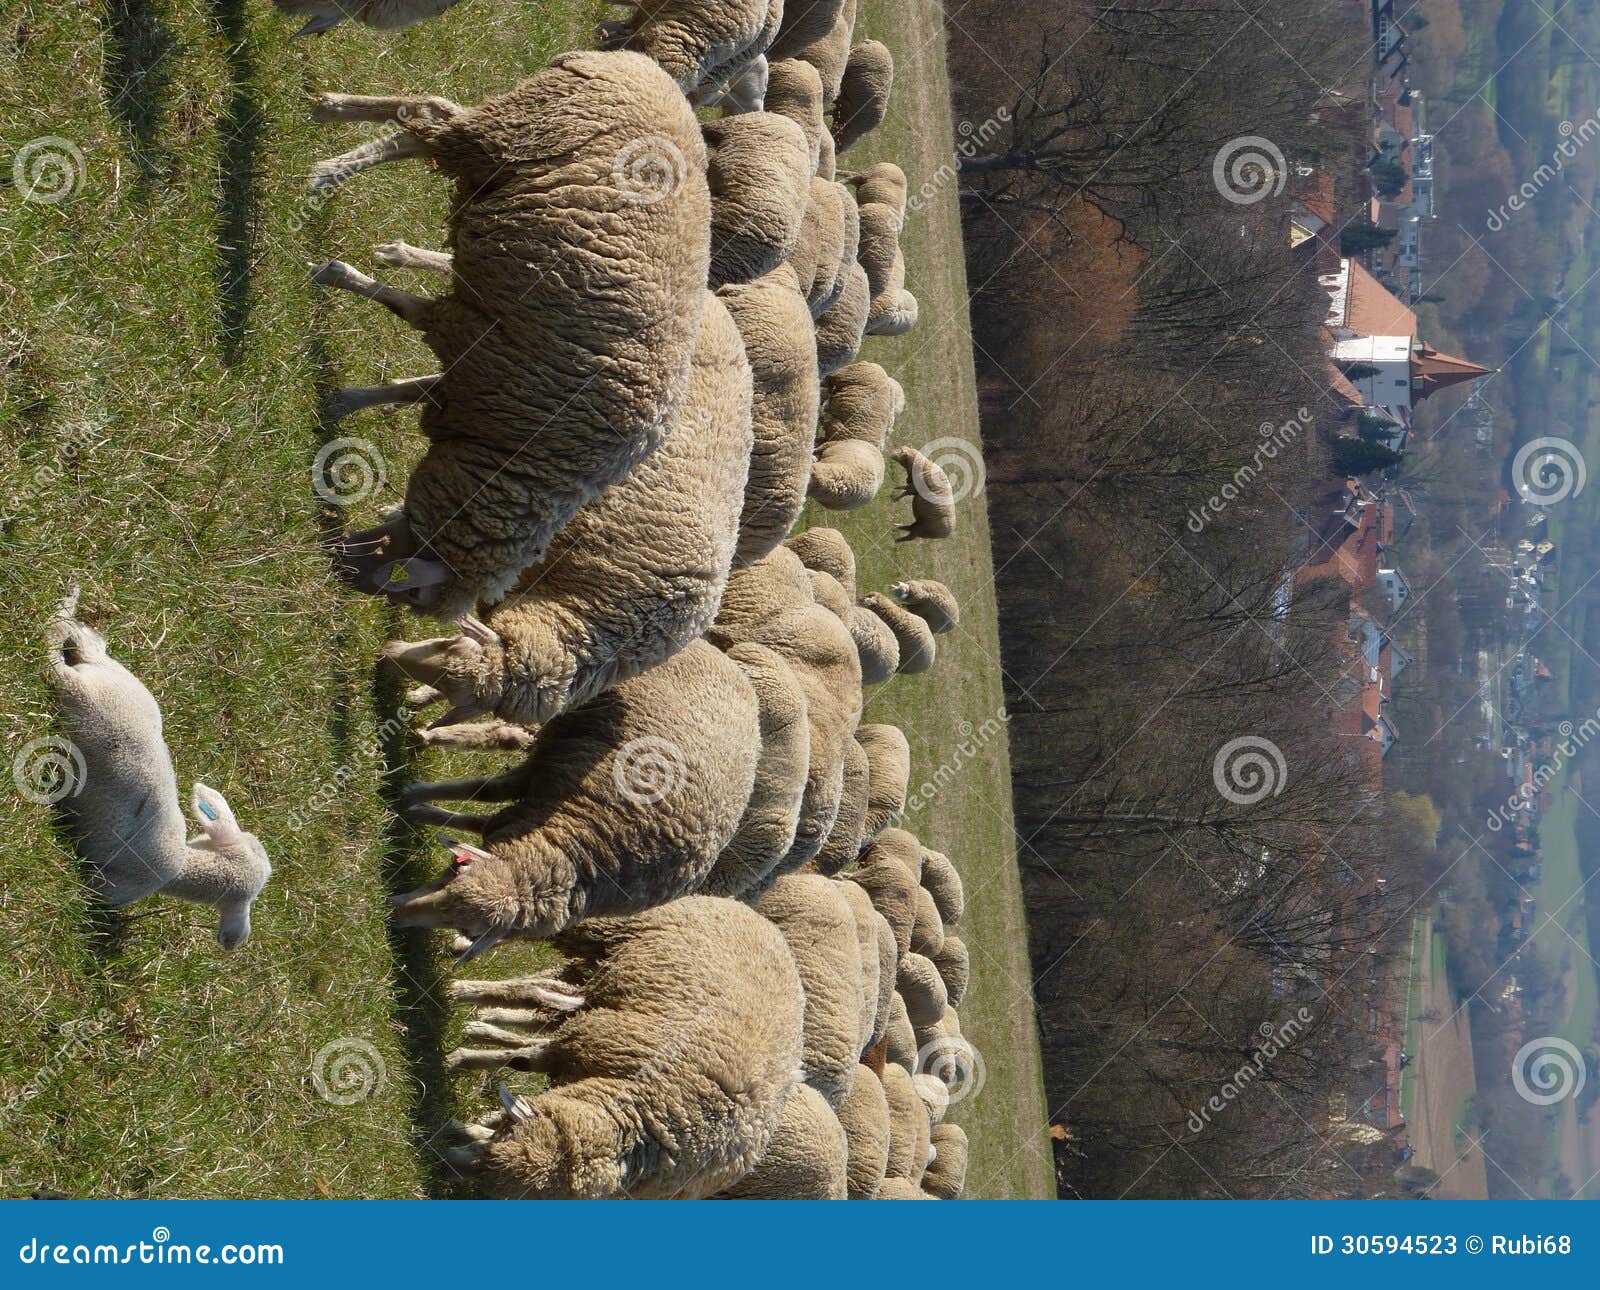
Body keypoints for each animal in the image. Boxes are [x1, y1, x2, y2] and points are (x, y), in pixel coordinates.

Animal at [43, 587, 270, 949]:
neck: (182, 868)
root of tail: (97, 670)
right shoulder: (106, 886)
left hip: (101, 673)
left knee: (82, 639)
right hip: (79, 698)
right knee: (57, 658)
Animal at [308, 53, 710, 619]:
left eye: (404, 591)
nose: (339, 567)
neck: (523, 454)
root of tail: (638, 63)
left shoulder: (482, 374)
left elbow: (415, 386)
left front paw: (345, 400)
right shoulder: (480, 341)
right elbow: (405, 310)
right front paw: (336, 276)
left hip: (501, 151)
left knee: (426, 123)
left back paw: (334, 127)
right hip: (513, 132)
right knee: (430, 119)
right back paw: (328, 159)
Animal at [390, 640, 759, 947]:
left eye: (464, 928)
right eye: (455, 873)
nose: (393, 914)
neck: (583, 848)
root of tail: (722, 655)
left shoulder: (535, 804)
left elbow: (483, 818)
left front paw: (422, 809)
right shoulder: (548, 769)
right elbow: (486, 791)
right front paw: (412, 798)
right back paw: (419, 699)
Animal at [441, 896, 805, 1198]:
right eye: (503, 1137)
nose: (441, 1166)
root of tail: (756, 914)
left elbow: (520, 1057)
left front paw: (463, 1124)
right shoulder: (587, 1041)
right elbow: (517, 1058)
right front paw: (456, 1062)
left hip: (597, 981)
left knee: (538, 995)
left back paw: (480, 1011)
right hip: (605, 930)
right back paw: (460, 961)